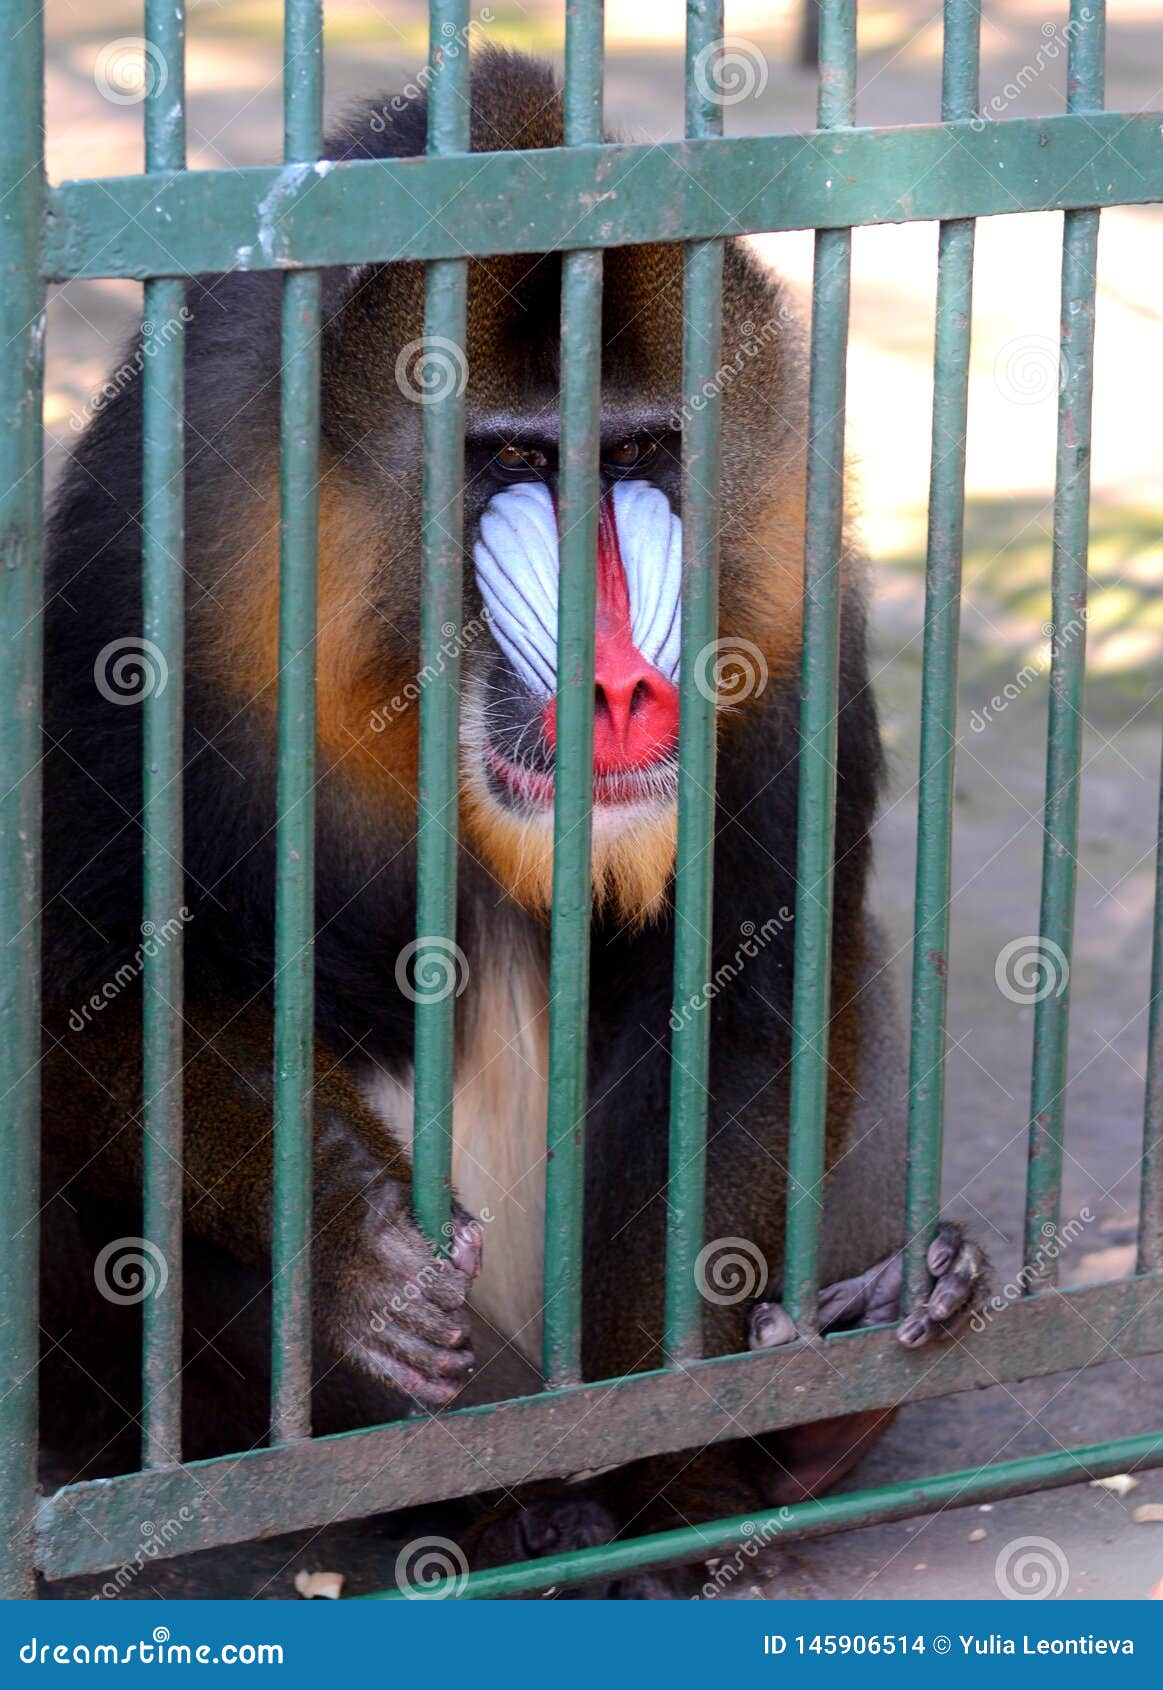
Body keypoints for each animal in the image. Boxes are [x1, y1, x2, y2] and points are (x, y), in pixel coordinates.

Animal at [39, 48, 987, 1593]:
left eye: (643, 449)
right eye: (512, 467)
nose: (623, 687)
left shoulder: (783, 568)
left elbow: (759, 983)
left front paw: (659, 1459)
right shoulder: (153, 539)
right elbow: (95, 971)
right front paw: (354, 1262)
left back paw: (838, 1379)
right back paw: (502, 1513)